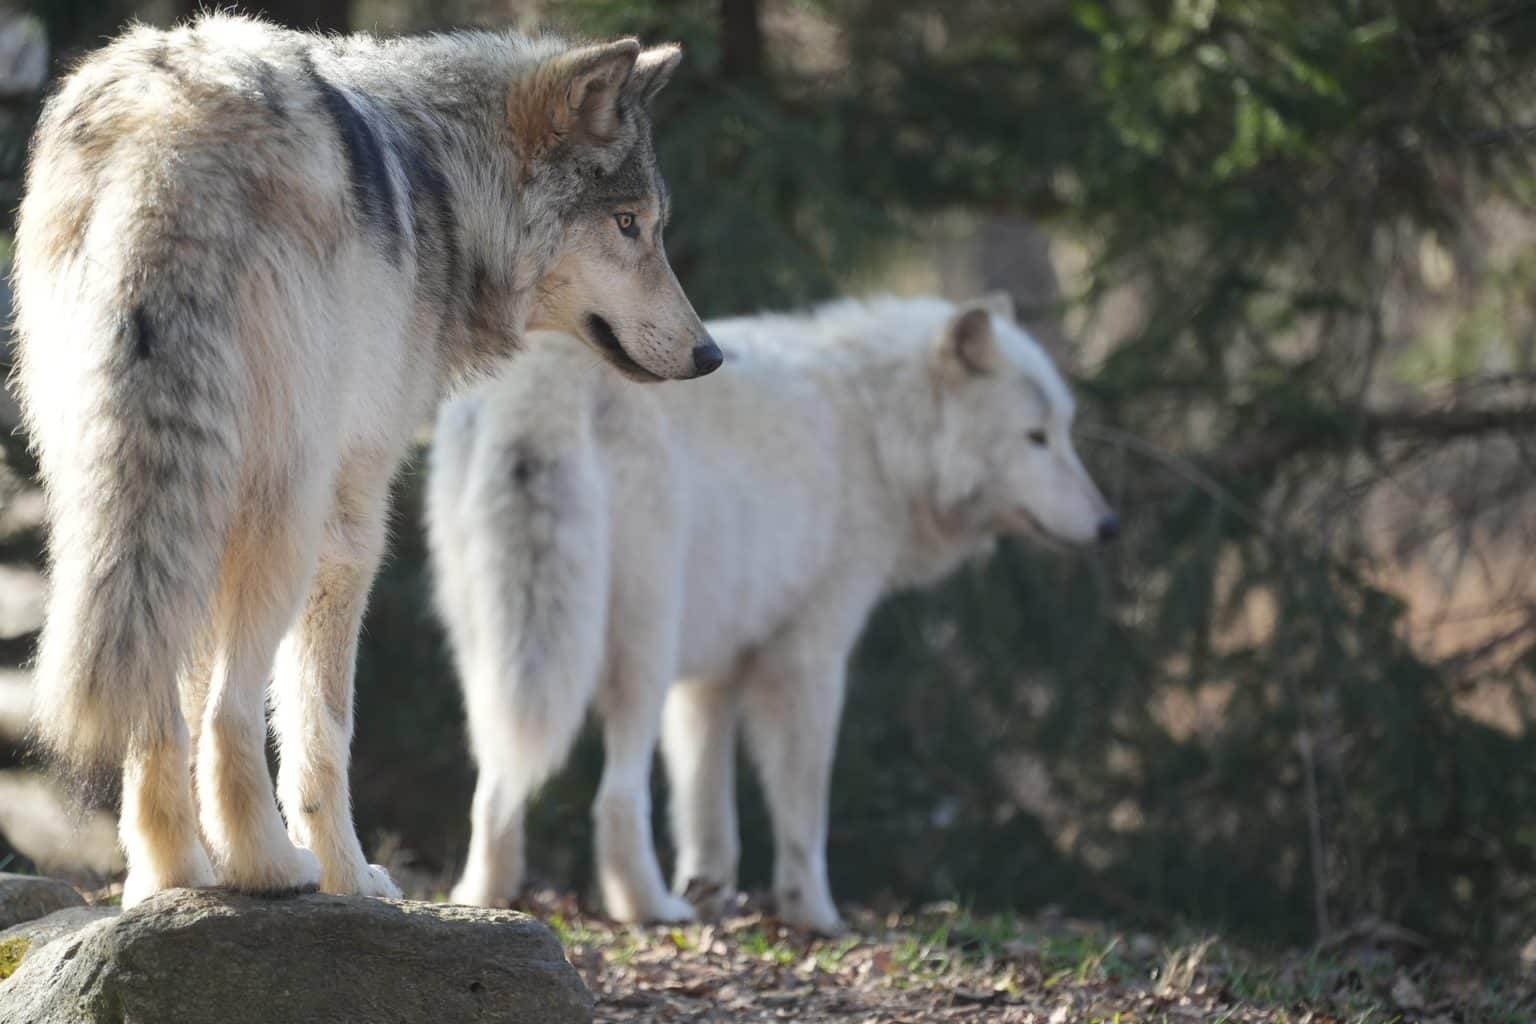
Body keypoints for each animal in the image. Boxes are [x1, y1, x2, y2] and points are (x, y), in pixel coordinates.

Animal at [10, 13, 717, 908]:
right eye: (630, 225)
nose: (710, 354)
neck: (449, 184)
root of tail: (166, 132)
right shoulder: (356, 515)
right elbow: (323, 728)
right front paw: (350, 876)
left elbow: (194, 694)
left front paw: (181, 874)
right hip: (284, 508)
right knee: (231, 712)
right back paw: (274, 868)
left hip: (109, 487)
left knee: (159, 695)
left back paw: (173, 875)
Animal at [428, 294, 1118, 932]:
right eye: (1036, 438)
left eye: (1064, 431)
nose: (1109, 526)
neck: (879, 434)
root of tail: (539, 379)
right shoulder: (809, 658)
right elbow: (804, 815)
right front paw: (815, 916)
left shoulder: (710, 681)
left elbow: (709, 820)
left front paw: (714, 898)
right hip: (638, 651)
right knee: (617, 797)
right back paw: (651, 908)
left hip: (493, 654)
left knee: (497, 781)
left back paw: (486, 898)